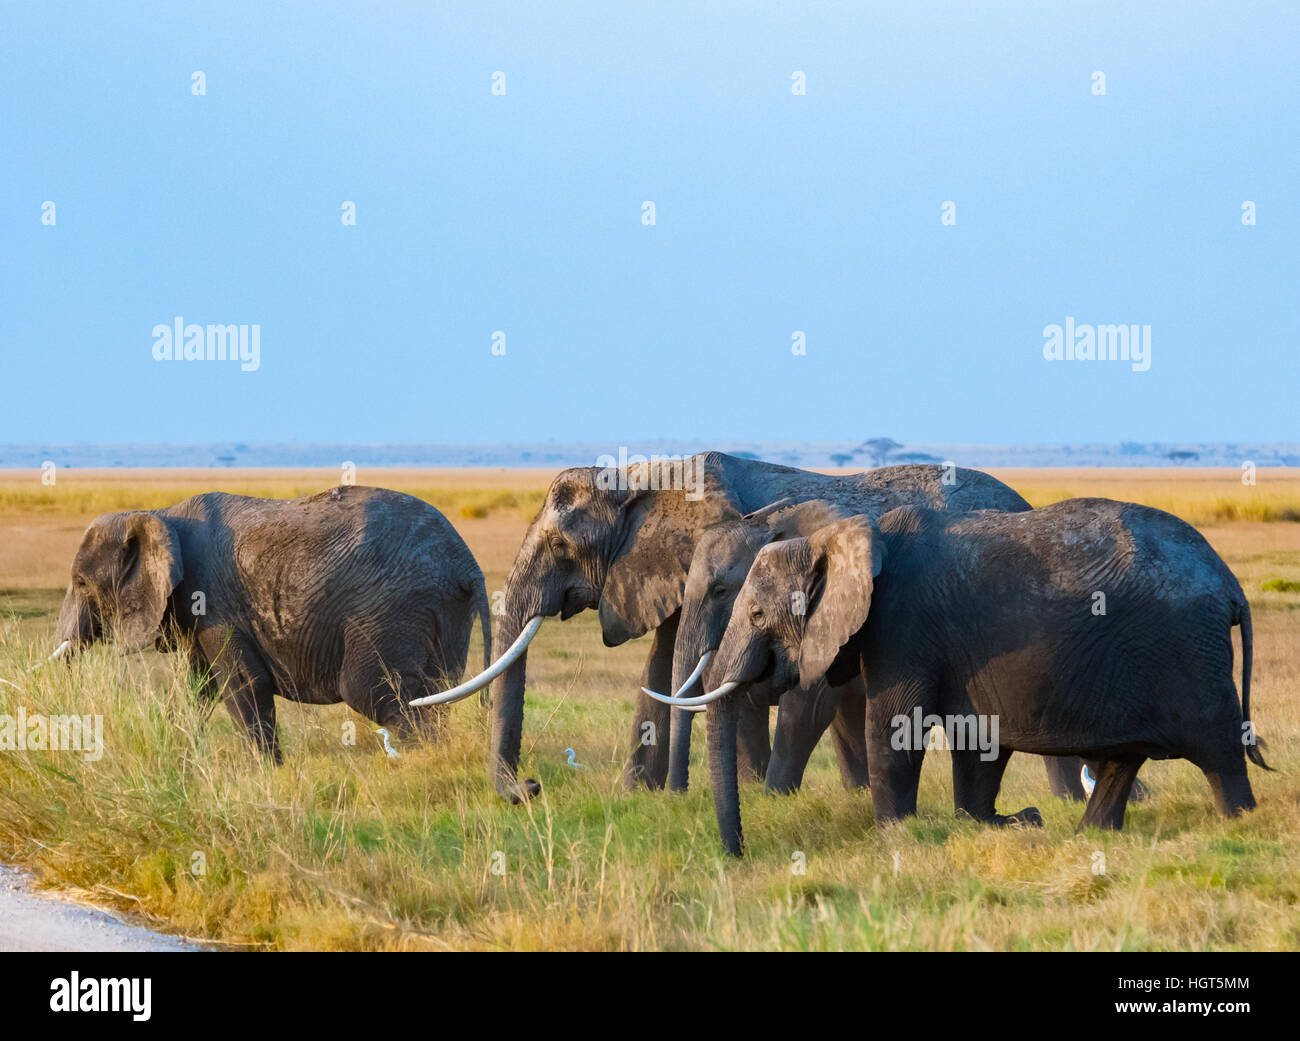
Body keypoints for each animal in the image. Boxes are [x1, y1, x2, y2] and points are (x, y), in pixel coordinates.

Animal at [52, 485, 491, 761]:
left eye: (81, 583)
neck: (160, 516)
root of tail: (468, 565)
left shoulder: (214, 601)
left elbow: (241, 682)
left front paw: (265, 772)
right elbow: (198, 685)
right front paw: (176, 758)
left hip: (390, 607)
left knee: (375, 690)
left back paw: (419, 760)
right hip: (443, 610)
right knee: (437, 689)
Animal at [436, 450, 1092, 802]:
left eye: (561, 545)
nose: (530, 789)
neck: (650, 477)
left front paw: (749, 797)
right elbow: (665, 668)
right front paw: (640, 797)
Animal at [692, 499, 1267, 855]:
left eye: (757, 615)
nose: (738, 852)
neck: (839, 537)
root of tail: (1229, 581)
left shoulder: (904, 625)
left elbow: (895, 729)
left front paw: (895, 837)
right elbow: (976, 742)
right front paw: (999, 822)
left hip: (1189, 650)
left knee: (1219, 754)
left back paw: (1240, 826)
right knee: (1124, 759)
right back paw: (1089, 836)